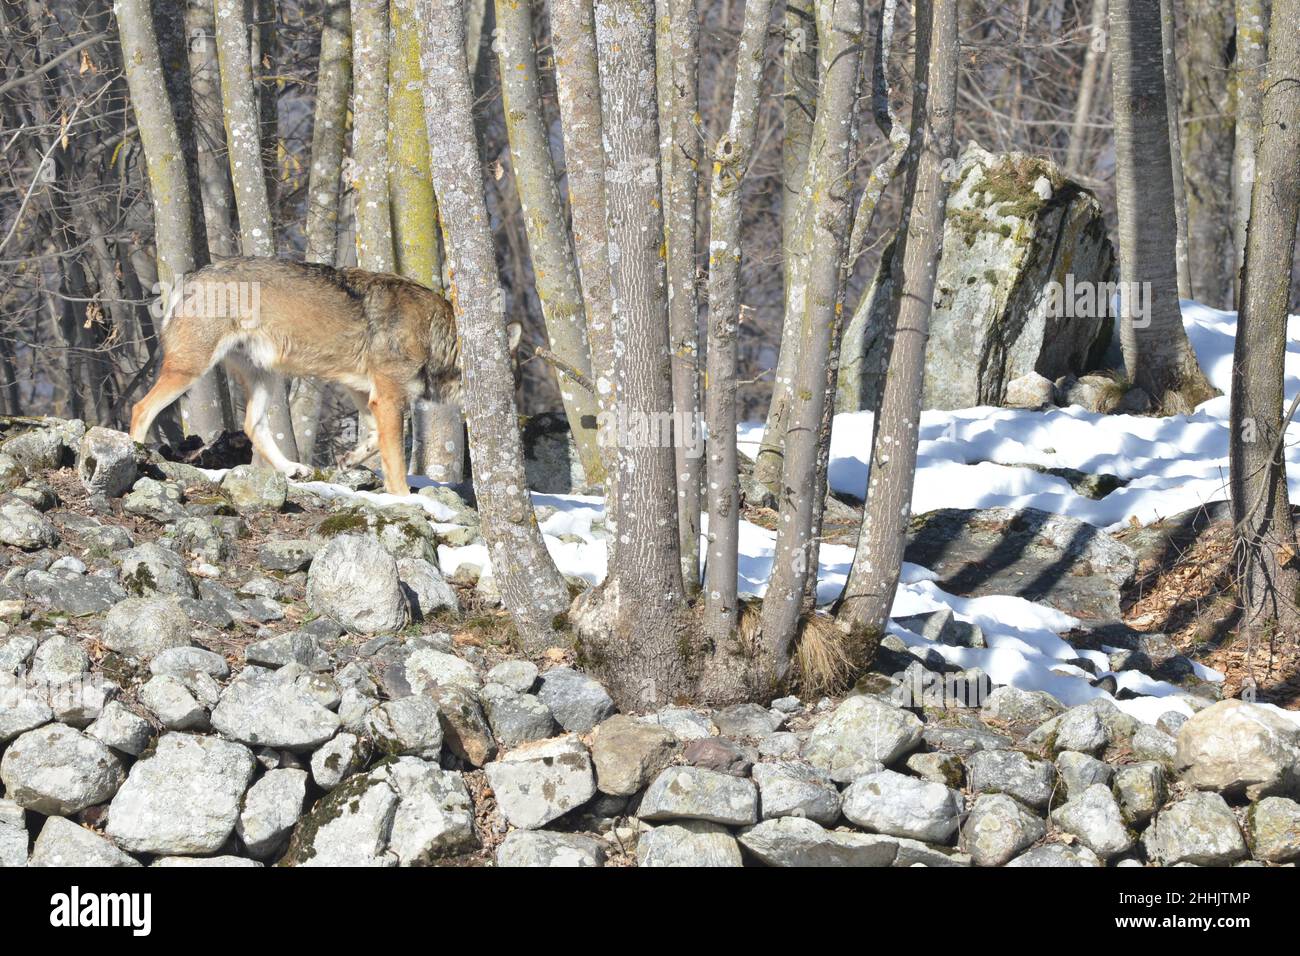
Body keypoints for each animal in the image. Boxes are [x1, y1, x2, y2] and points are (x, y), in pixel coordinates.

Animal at [130, 257, 521, 495]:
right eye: (506, 382)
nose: (513, 413)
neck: (433, 333)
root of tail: (192, 276)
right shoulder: (388, 397)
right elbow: (394, 457)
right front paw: (404, 497)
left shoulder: (363, 393)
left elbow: (374, 439)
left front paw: (348, 460)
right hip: (191, 370)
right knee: (140, 409)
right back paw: (134, 454)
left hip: (265, 378)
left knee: (252, 426)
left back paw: (292, 470)